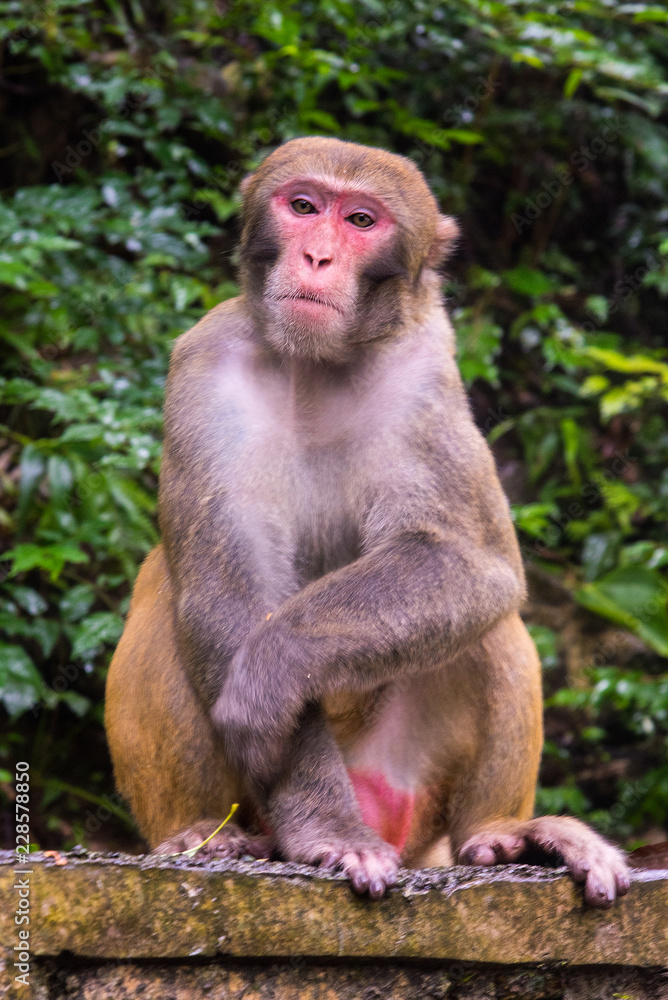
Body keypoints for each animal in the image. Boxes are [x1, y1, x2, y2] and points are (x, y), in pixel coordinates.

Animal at [105, 137, 630, 907]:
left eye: (360, 220)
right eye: (302, 206)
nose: (318, 256)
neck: (318, 364)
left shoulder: (426, 370)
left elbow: (468, 562)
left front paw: (273, 668)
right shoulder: (206, 361)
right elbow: (224, 583)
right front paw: (326, 830)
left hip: (414, 780)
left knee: (488, 616)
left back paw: (502, 832)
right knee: (168, 585)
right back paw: (203, 831)